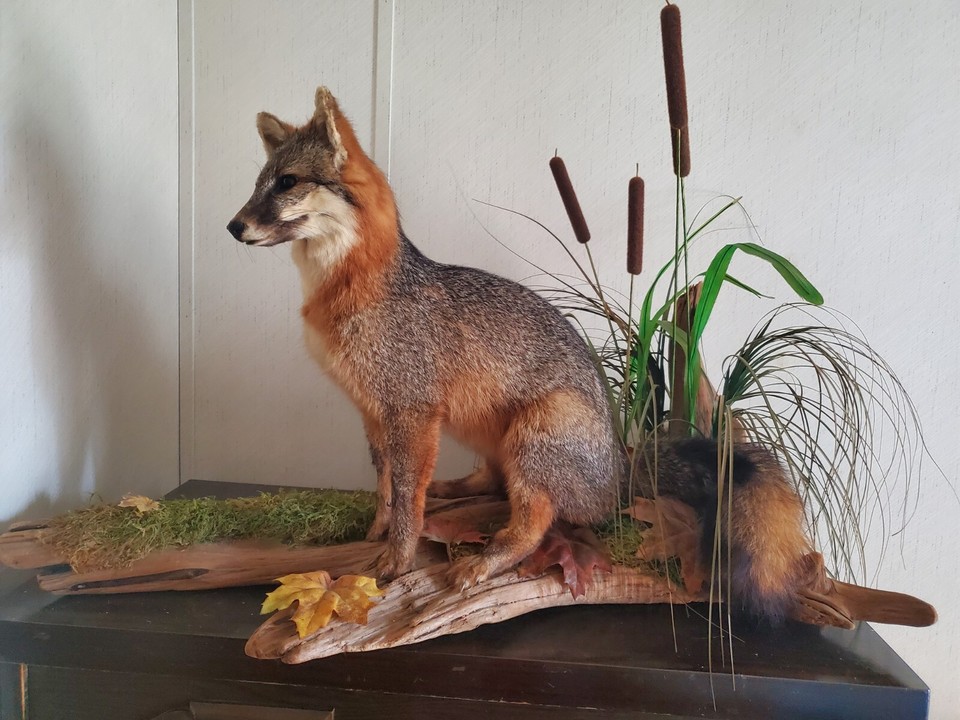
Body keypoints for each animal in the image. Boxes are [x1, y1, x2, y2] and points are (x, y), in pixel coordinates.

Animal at [227, 86, 810, 619]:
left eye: (287, 182)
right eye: (257, 184)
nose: (233, 226)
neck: (351, 290)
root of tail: (619, 468)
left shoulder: (412, 413)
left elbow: (407, 499)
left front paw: (396, 561)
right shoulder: (373, 413)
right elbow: (386, 488)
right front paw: (376, 531)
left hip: (531, 431)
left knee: (534, 524)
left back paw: (484, 560)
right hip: (477, 424)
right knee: (491, 482)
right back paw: (450, 490)